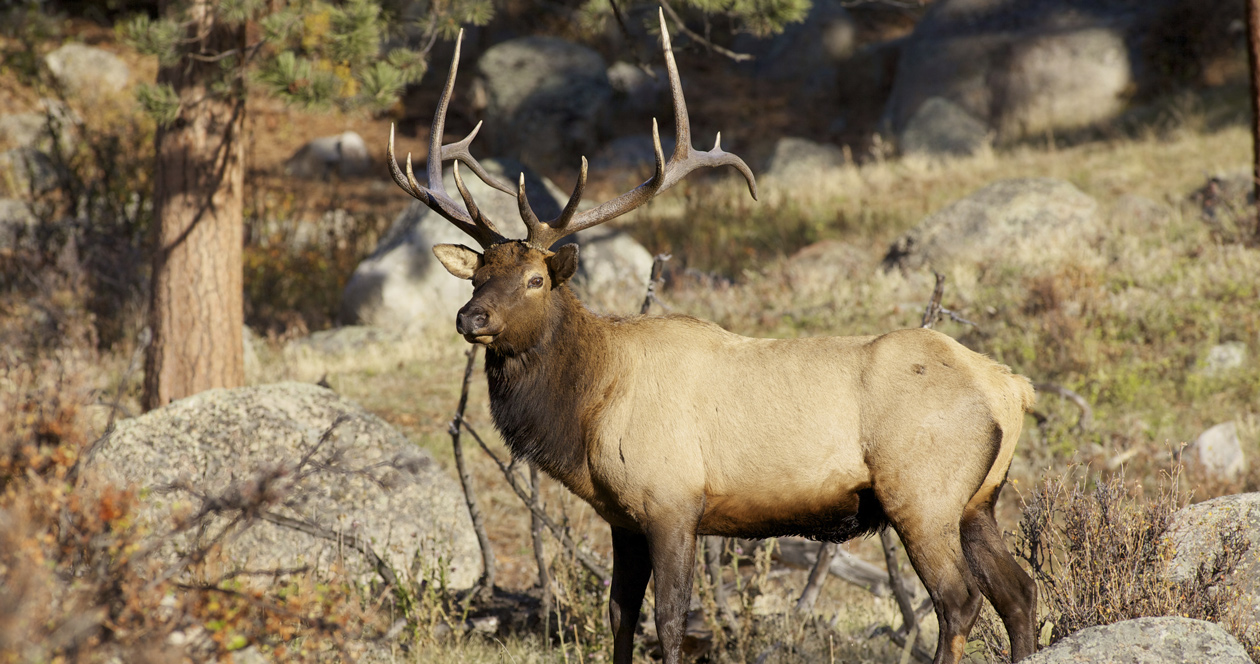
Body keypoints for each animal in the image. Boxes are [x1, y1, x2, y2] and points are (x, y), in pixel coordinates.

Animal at [386, 12, 1038, 664]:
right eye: (476, 275)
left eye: (535, 279)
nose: (471, 318)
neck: (589, 408)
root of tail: (1012, 387)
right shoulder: (622, 516)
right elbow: (620, 613)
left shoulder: (672, 500)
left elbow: (672, 620)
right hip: (978, 499)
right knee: (1019, 590)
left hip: (923, 493)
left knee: (959, 599)